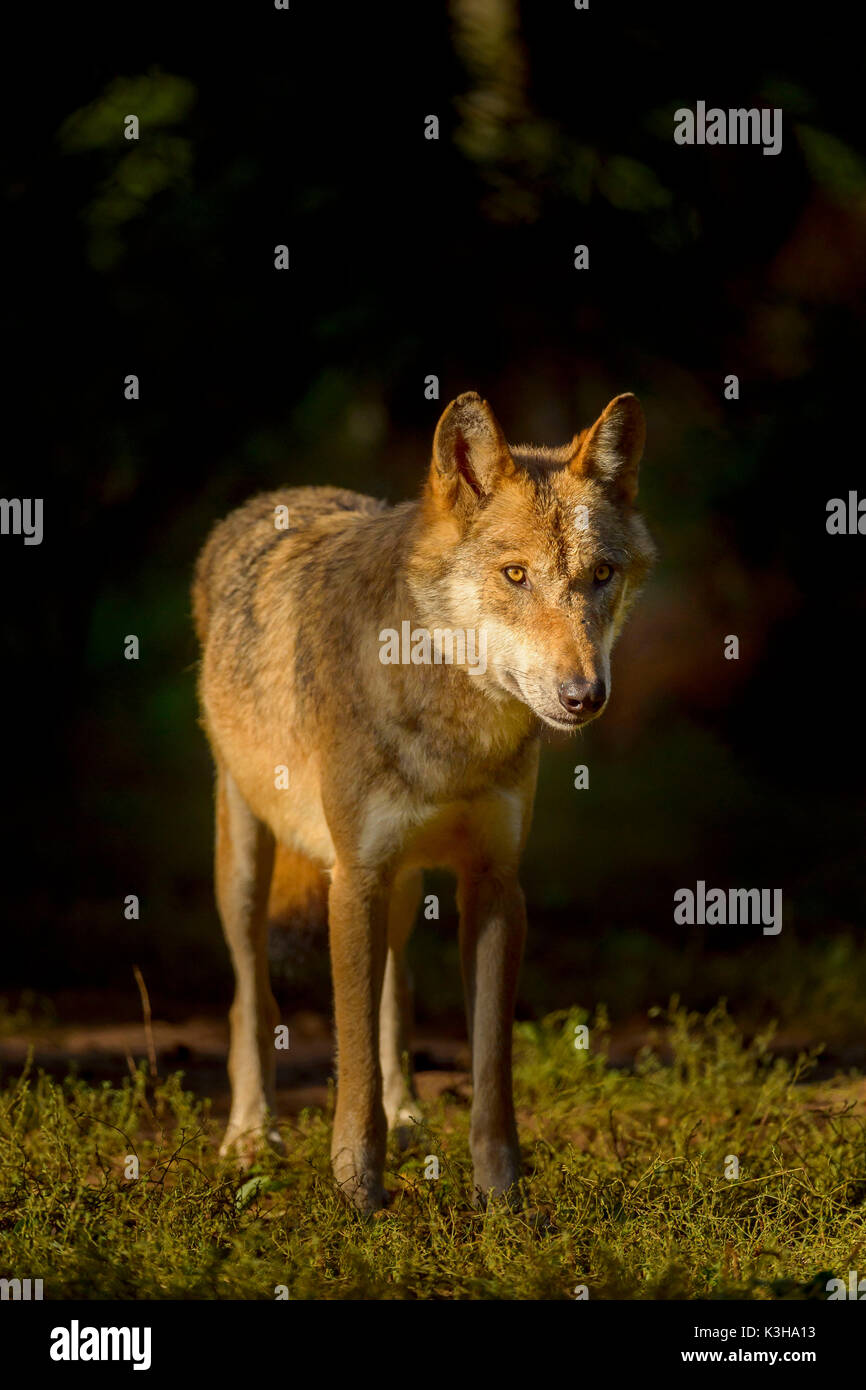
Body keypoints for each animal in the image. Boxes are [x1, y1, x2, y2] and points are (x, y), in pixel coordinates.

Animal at [193, 390, 655, 1212]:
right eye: (515, 575)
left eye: (601, 574)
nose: (585, 696)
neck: (455, 734)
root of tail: (272, 498)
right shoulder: (354, 879)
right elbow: (349, 1060)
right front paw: (357, 1192)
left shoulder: (495, 886)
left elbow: (490, 1066)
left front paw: (501, 1197)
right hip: (250, 865)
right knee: (253, 1001)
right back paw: (251, 1135)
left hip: (402, 892)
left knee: (397, 994)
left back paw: (407, 1115)